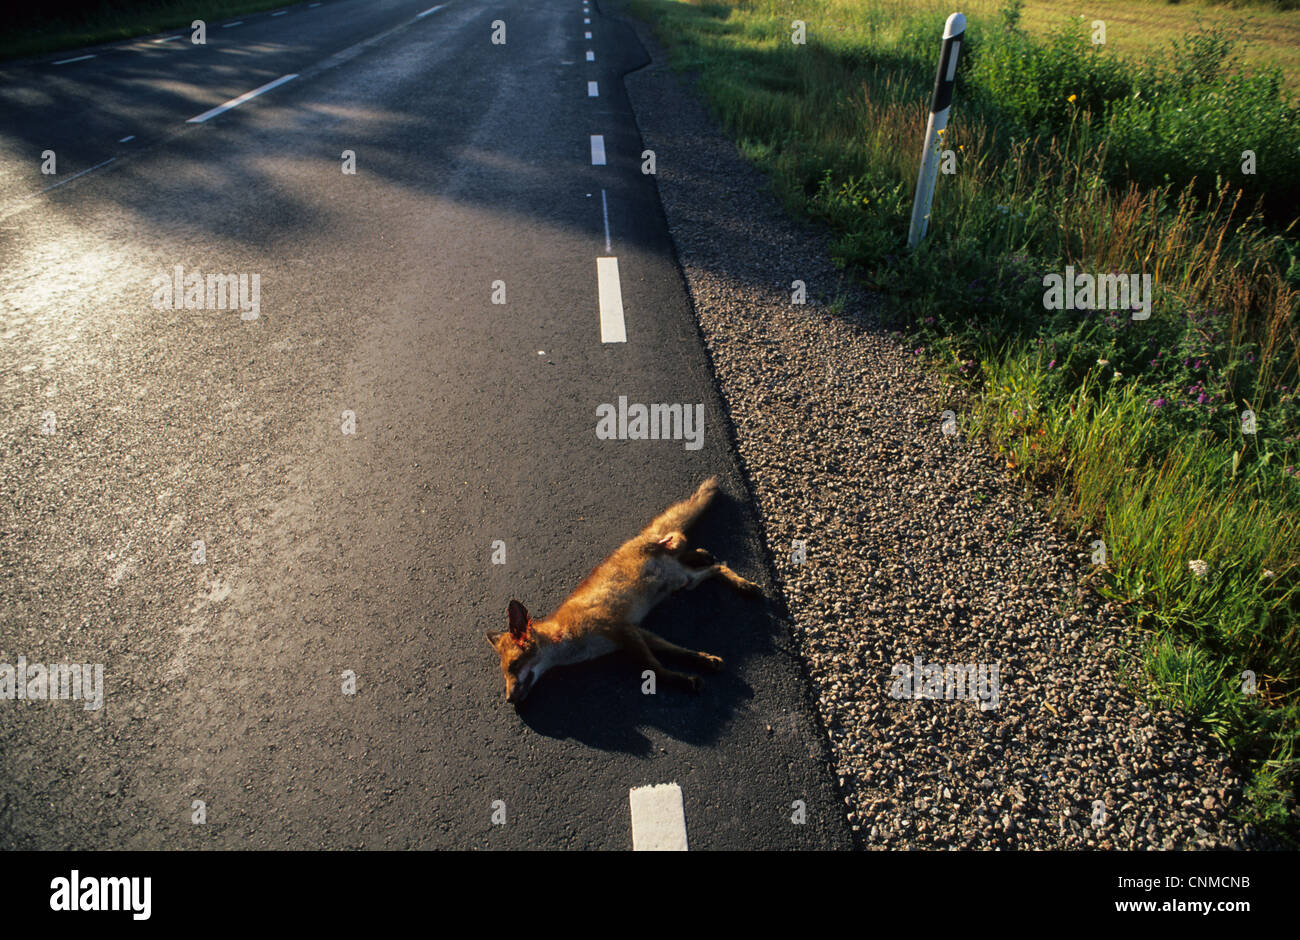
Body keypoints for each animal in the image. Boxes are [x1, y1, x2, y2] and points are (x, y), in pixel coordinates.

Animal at [487, 476, 762, 704]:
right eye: (505, 673)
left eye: (513, 666)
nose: (509, 699)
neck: (569, 638)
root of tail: (641, 538)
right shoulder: (636, 633)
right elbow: (676, 651)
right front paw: (703, 660)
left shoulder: (623, 630)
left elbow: (657, 668)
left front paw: (684, 679)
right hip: (686, 581)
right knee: (715, 567)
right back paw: (729, 574)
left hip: (672, 558)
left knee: (681, 541)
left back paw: (702, 556)